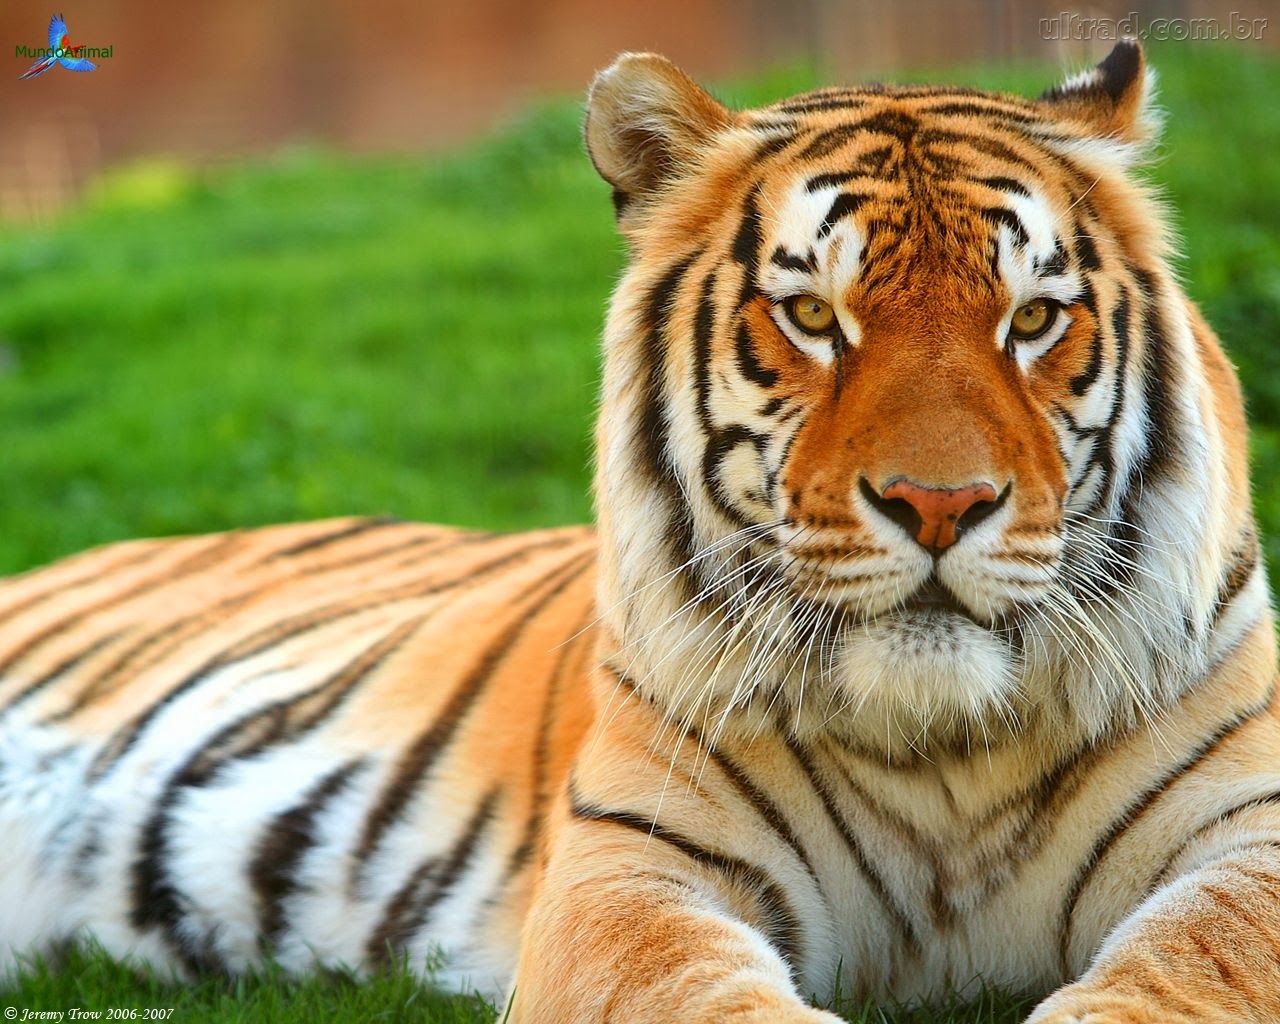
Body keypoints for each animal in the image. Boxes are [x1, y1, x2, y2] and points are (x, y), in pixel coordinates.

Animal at [0, 37, 1276, 1024]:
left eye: (1032, 319)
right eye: (810, 314)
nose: (937, 505)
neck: (941, 758)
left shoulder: (1248, 835)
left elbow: (1193, 967)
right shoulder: (632, 866)